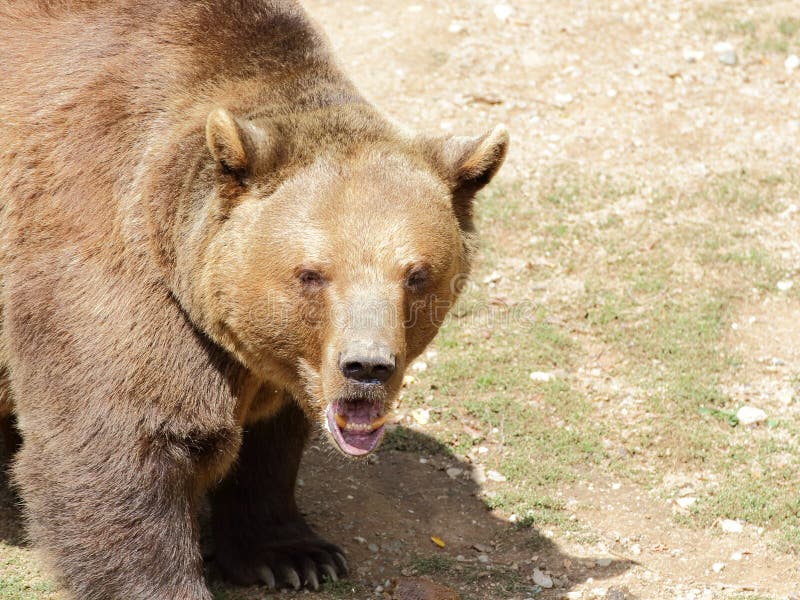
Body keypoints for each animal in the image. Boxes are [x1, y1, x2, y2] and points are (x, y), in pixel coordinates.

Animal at [0, 1, 508, 599]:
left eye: (416, 274)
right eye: (312, 274)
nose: (367, 366)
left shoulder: (282, 365)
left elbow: (272, 441)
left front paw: (294, 555)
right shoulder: (103, 261)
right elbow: (119, 447)